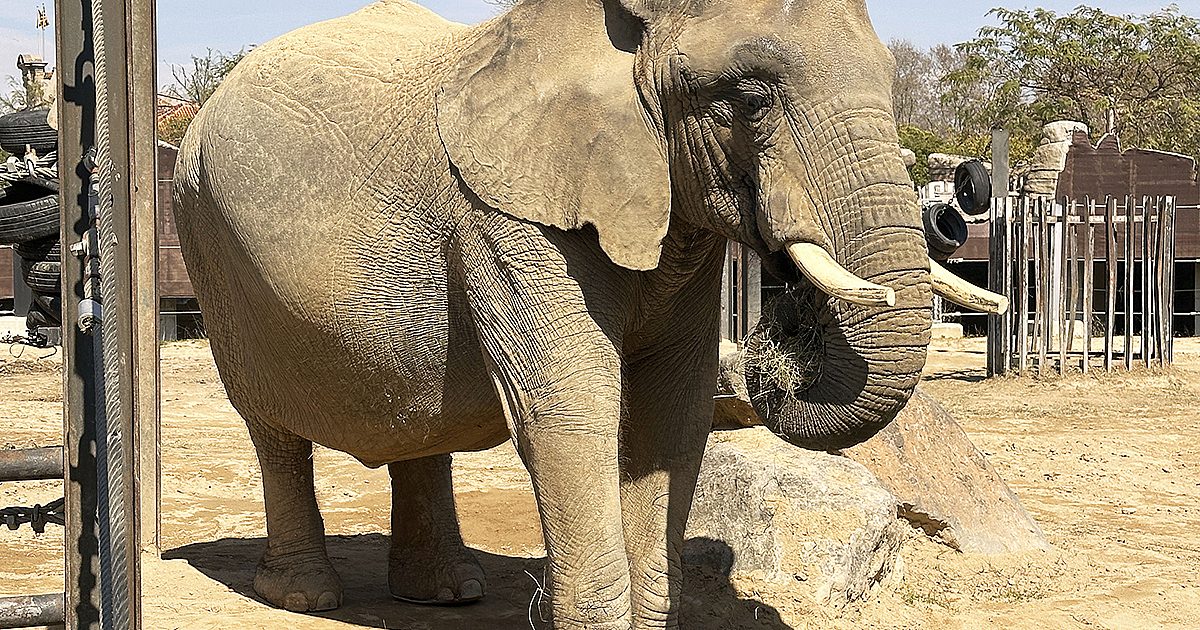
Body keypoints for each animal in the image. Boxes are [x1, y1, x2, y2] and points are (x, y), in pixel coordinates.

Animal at [172, 0, 1003, 627]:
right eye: (751, 98)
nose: (785, 334)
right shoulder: (505, 215)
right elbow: (571, 411)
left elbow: (671, 414)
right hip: (208, 242)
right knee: (271, 429)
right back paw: (302, 595)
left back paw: (446, 592)